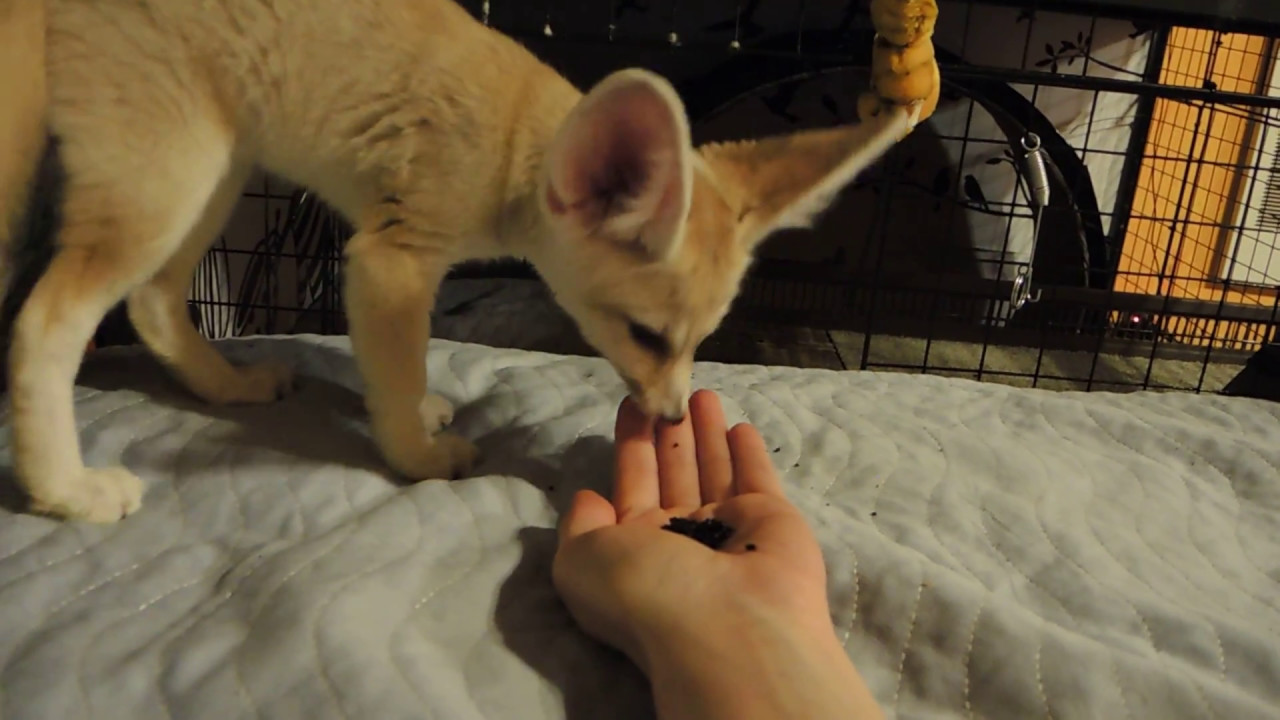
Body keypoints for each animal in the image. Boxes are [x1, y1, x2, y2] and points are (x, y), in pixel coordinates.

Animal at [0, 0, 919, 523]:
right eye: (647, 337)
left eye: (699, 343)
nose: (667, 420)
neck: (515, 139)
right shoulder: (390, 259)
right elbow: (400, 368)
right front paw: (418, 455)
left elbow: (402, 365)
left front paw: (418, 411)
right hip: (172, 173)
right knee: (43, 323)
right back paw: (66, 492)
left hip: (216, 167)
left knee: (154, 301)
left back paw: (227, 385)